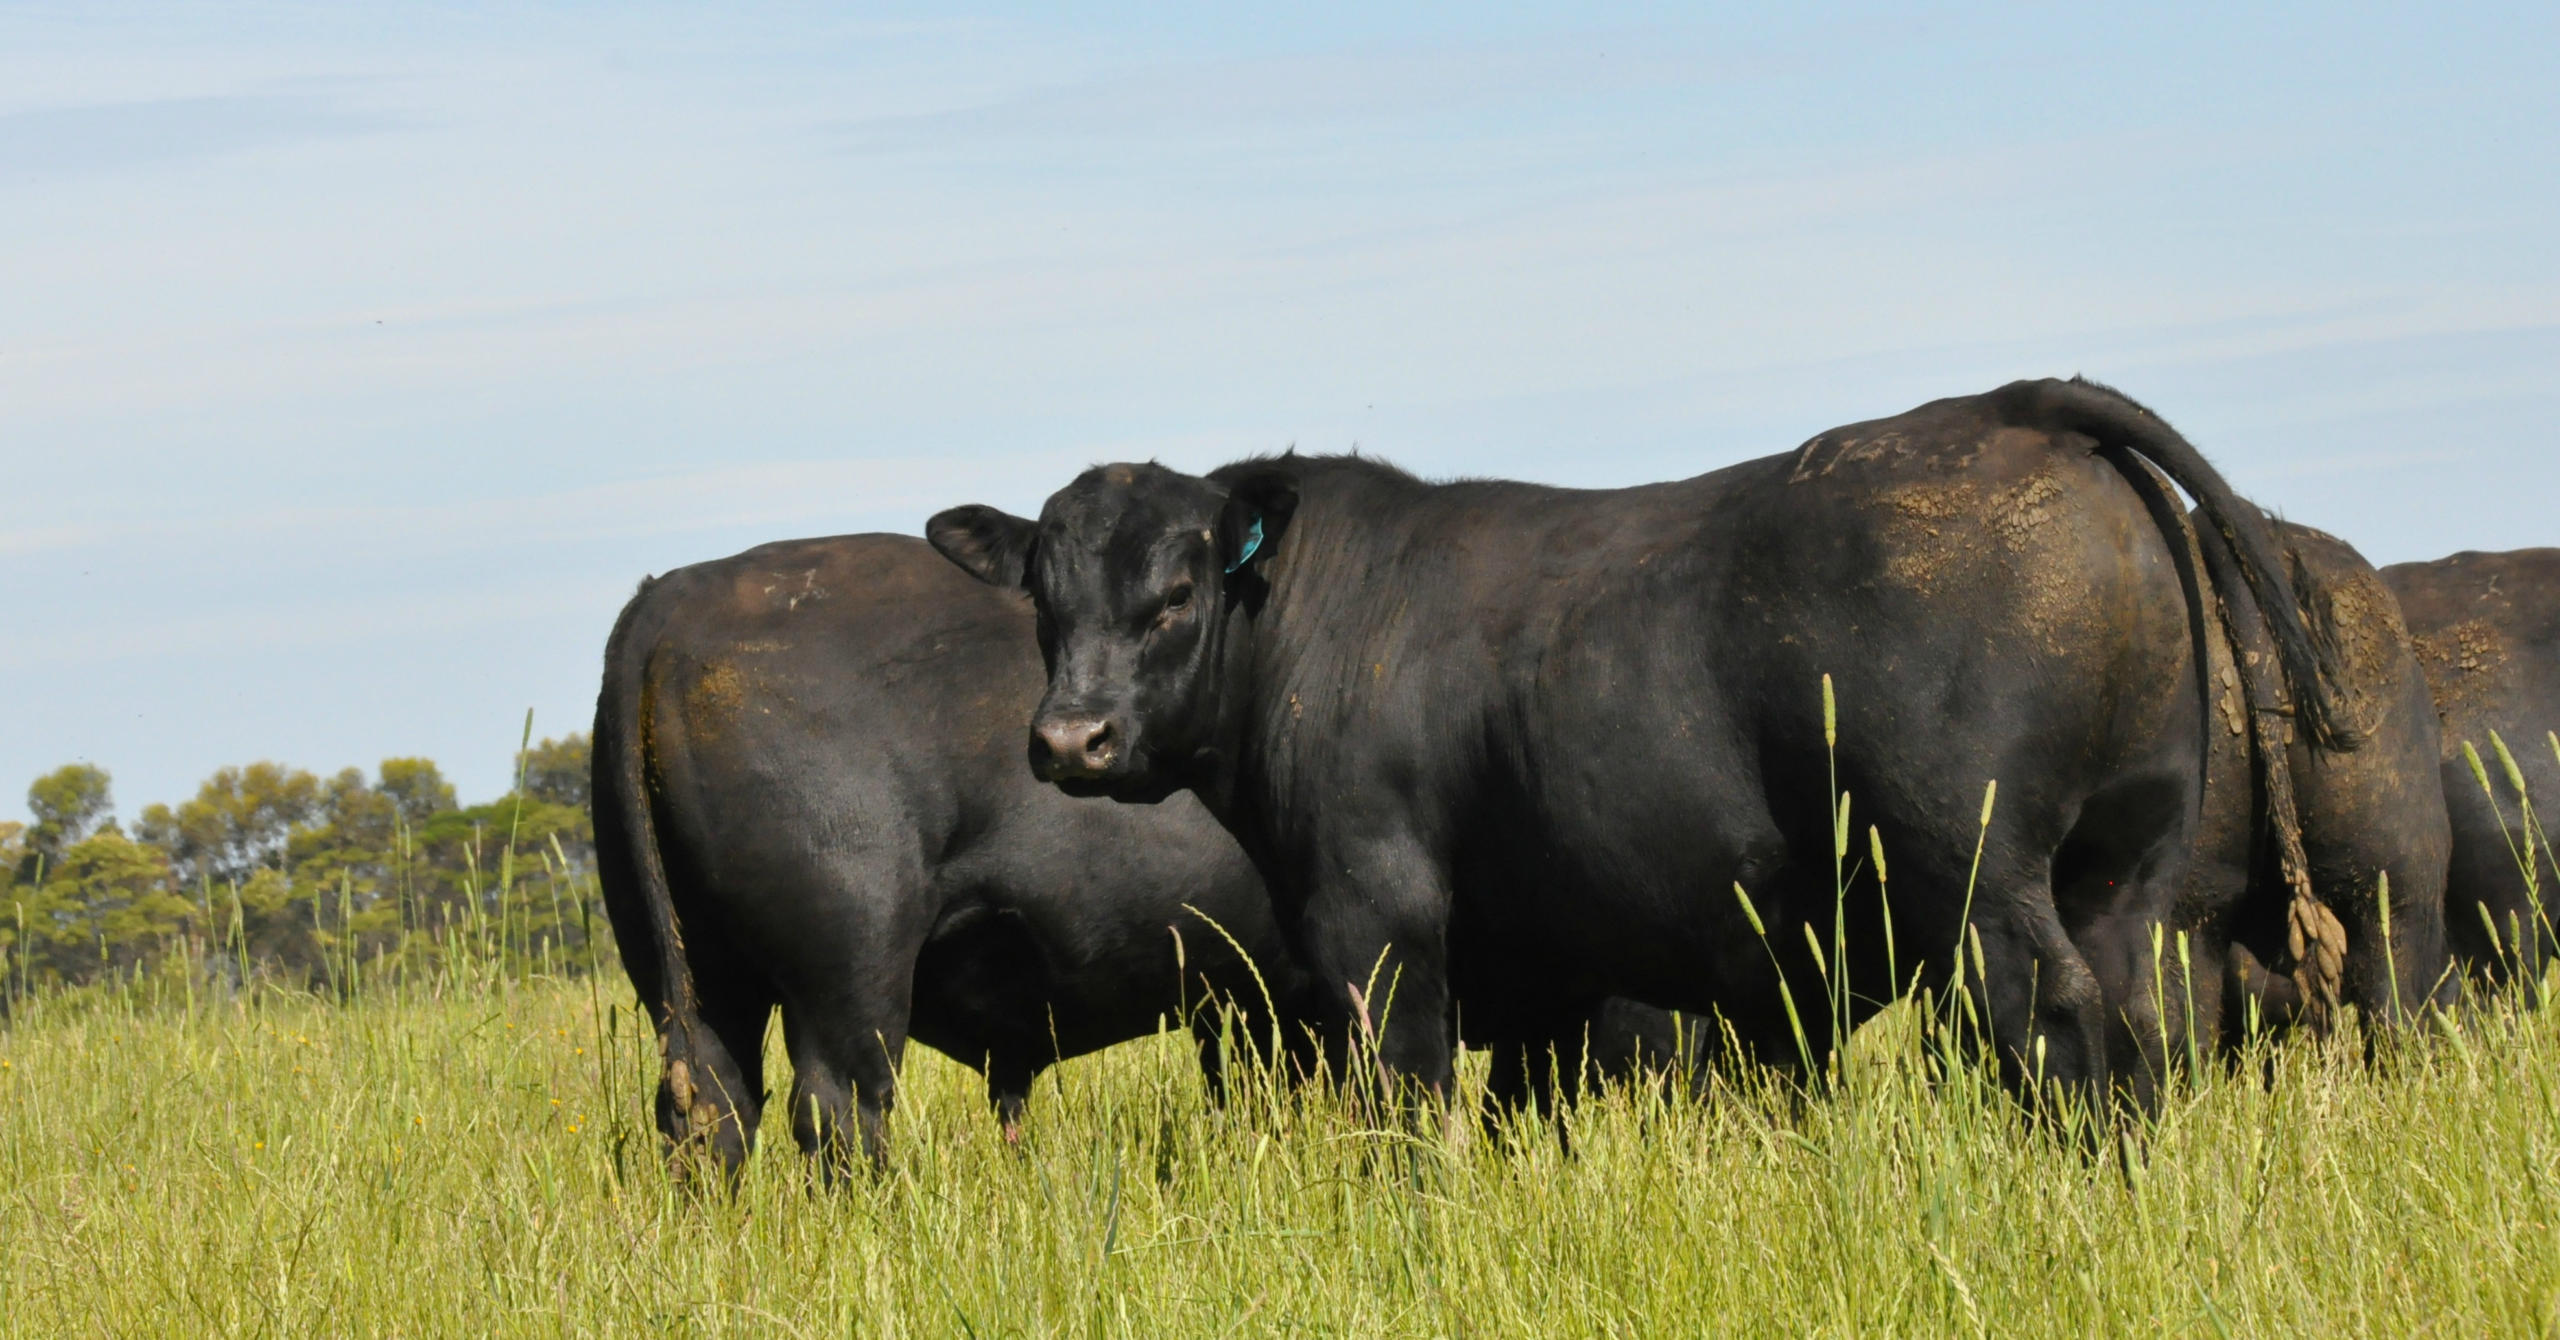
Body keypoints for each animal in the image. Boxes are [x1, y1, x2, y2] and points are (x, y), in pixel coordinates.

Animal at [928, 378, 2454, 1117]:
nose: (1069, 738)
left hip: (1977, 863)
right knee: (2141, 1023)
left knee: (2055, 1021)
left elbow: (1408, 1108)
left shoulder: (1377, 921)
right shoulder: (1539, 967)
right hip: (2126, 860)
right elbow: (1519, 1114)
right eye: (1045, 594)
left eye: (1177, 591)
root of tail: (2009, 408)